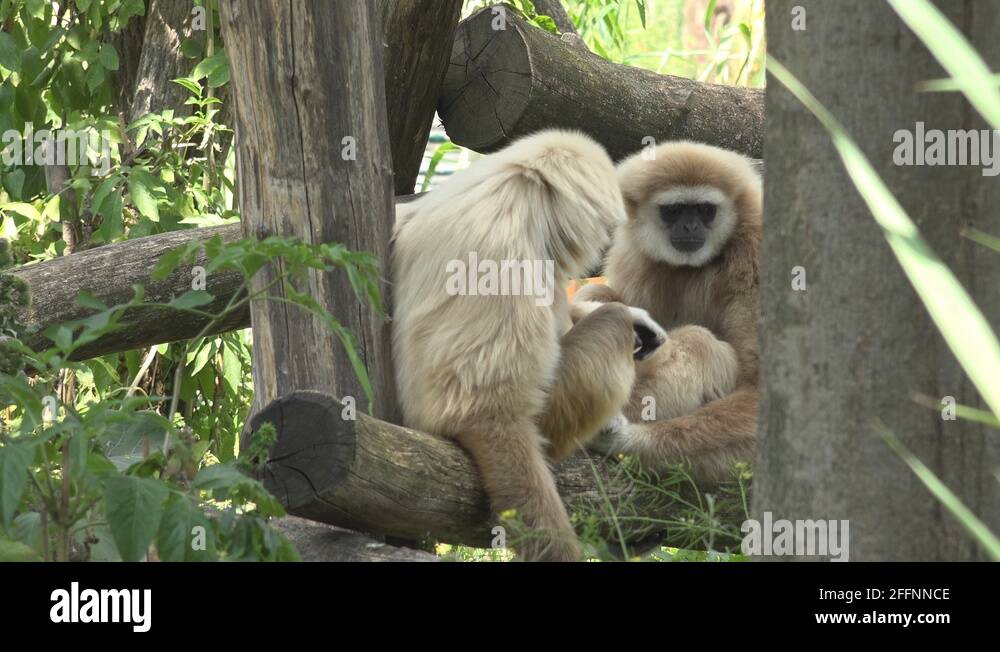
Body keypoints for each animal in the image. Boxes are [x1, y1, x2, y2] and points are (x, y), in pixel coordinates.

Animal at [391, 130, 668, 561]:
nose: (604, 244)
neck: (513, 182)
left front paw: (641, 320)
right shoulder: (502, 253)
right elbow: (483, 408)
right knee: (610, 326)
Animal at [582, 141, 762, 483]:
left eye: (705, 209)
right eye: (674, 210)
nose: (690, 225)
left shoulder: (756, 251)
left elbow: (758, 388)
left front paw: (629, 440)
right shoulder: (633, 257)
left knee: (700, 343)